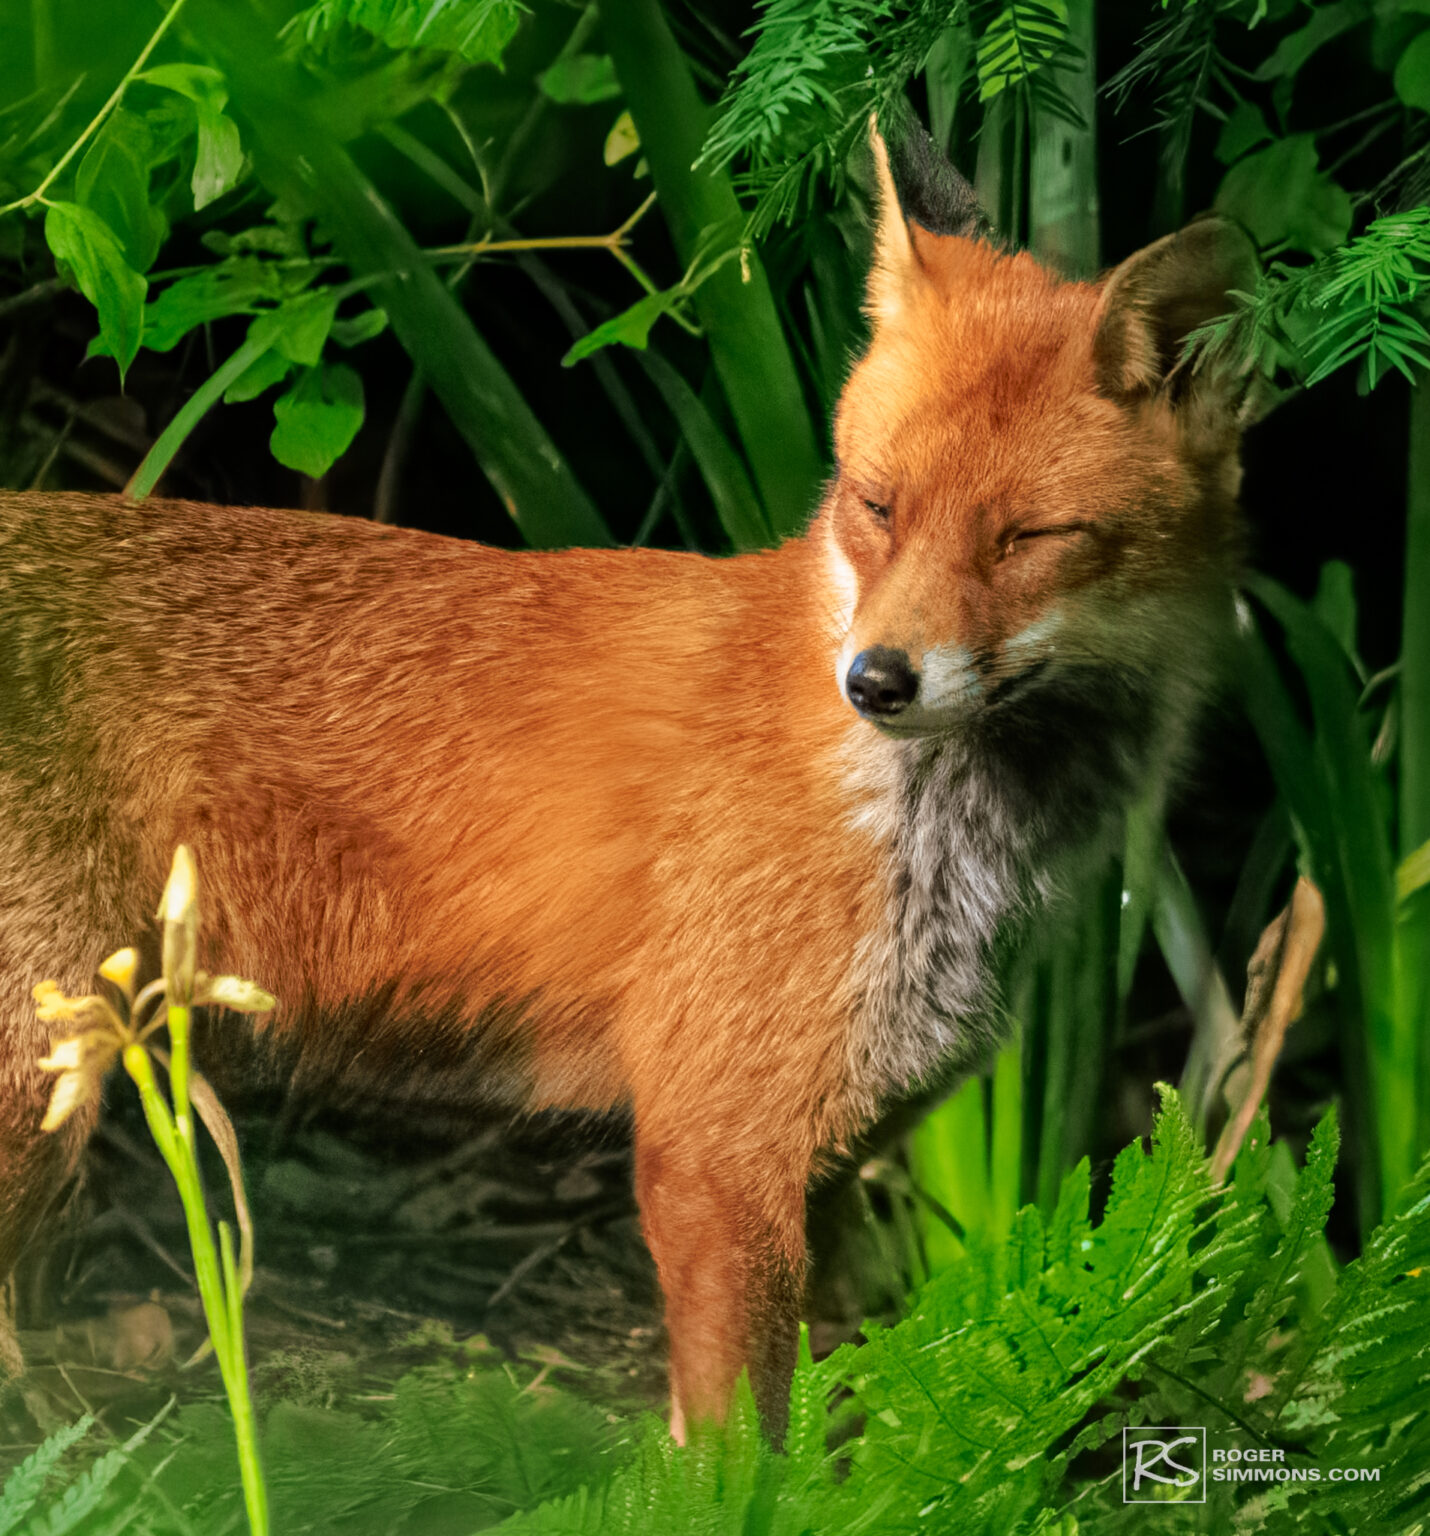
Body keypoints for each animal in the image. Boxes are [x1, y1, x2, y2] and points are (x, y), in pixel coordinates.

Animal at [0, 126, 1256, 1444]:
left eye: (1025, 540)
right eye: (876, 506)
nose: (876, 680)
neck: (936, 834)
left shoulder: (832, 1156)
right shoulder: (714, 1150)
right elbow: (731, 1456)